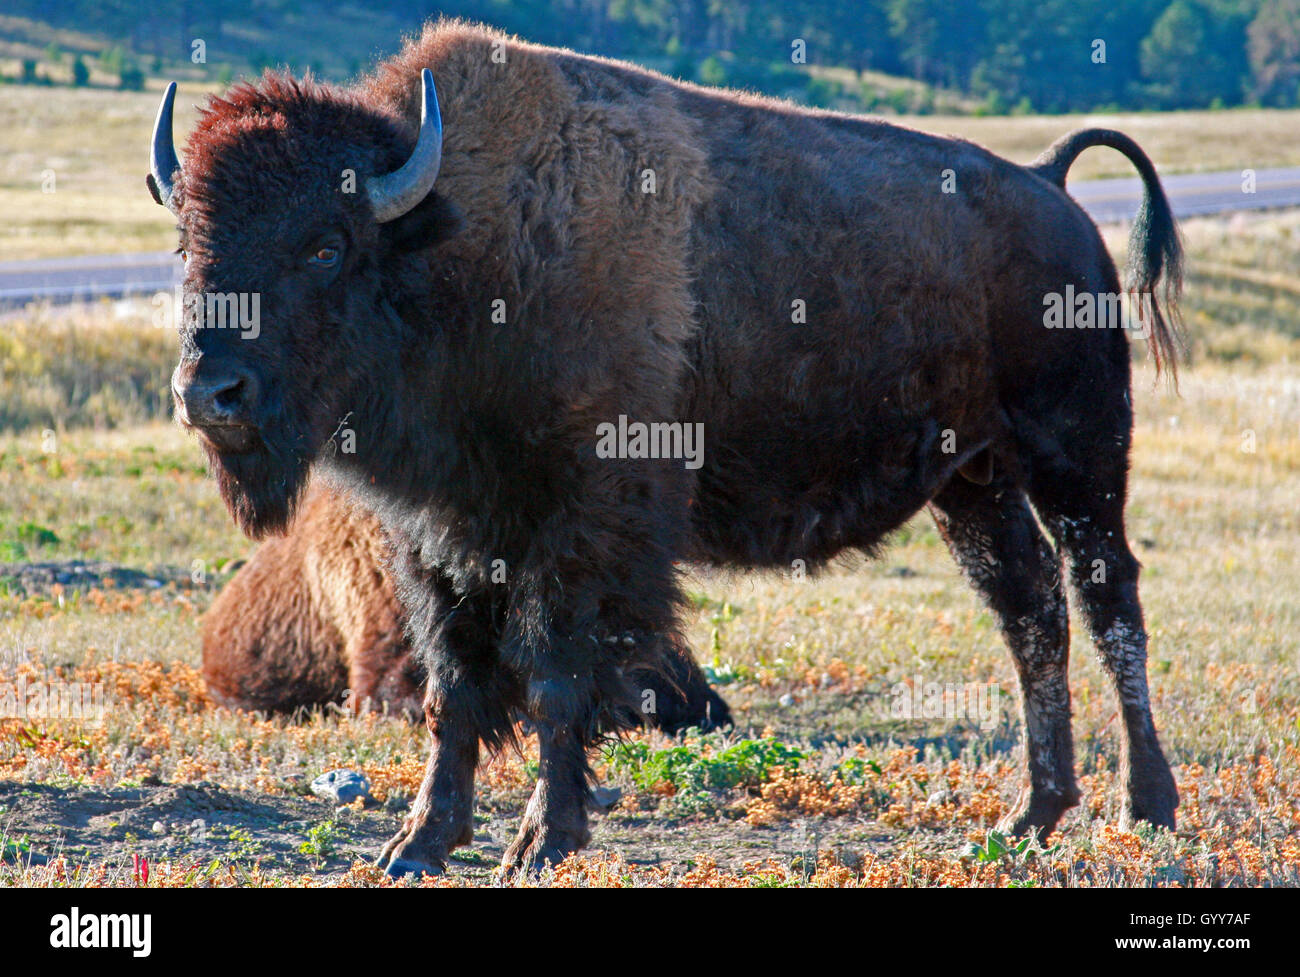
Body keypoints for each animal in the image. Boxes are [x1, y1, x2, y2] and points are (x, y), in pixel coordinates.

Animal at [151, 20, 1182, 875]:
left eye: (326, 244)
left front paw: (543, 840)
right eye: (187, 242)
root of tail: (1052, 189)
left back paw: (1145, 808)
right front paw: (417, 845)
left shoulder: (584, 524)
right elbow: (456, 687)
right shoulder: (438, 535)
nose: (209, 393)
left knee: (1107, 597)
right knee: (1030, 609)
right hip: (972, 482)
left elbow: (556, 677)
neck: (458, 243)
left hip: (1076, 453)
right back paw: (1030, 817)